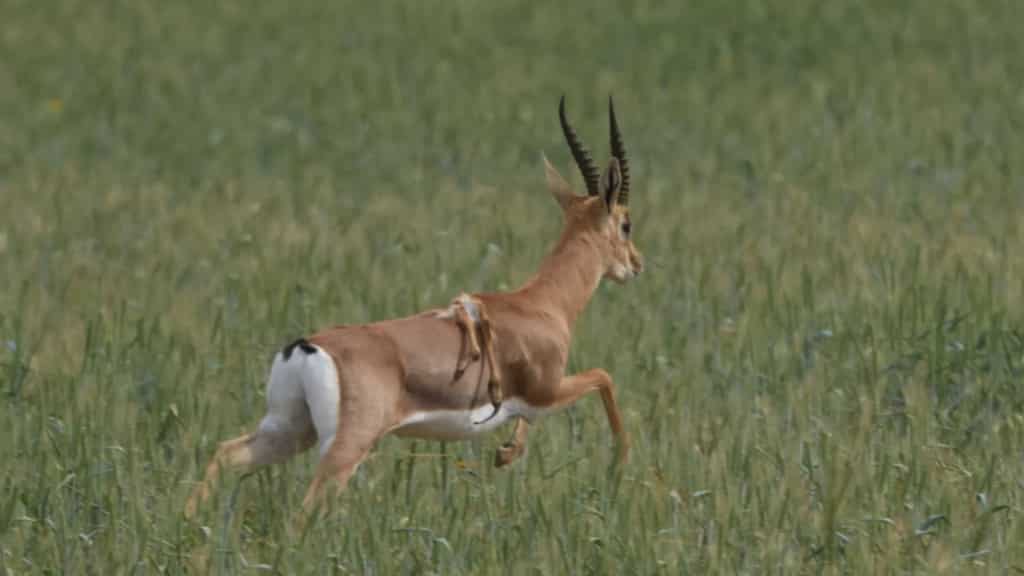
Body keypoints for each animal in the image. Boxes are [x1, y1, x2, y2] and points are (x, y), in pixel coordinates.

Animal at [185, 96, 644, 517]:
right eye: (626, 223)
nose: (636, 265)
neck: (541, 305)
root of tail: (305, 347)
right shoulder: (548, 390)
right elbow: (604, 377)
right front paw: (620, 467)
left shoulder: (531, 399)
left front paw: (506, 453)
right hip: (344, 445)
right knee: (307, 506)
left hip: (289, 430)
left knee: (227, 454)